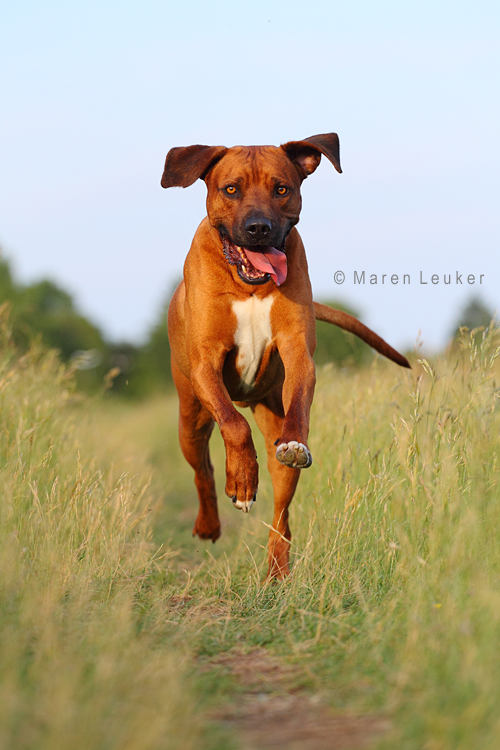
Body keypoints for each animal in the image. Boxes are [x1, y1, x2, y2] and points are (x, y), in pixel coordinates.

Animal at [161, 135, 410, 580]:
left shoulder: (297, 352)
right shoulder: (205, 366)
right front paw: (242, 478)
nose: (259, 228)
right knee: (203, 470)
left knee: (282, 514)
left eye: (281, 188)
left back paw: (278, 570)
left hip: (268, 425)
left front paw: (293, 442)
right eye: (231, 189)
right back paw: (210, 522)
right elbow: (234, 427)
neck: (250, 284)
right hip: (191, 418)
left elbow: (298, 403)